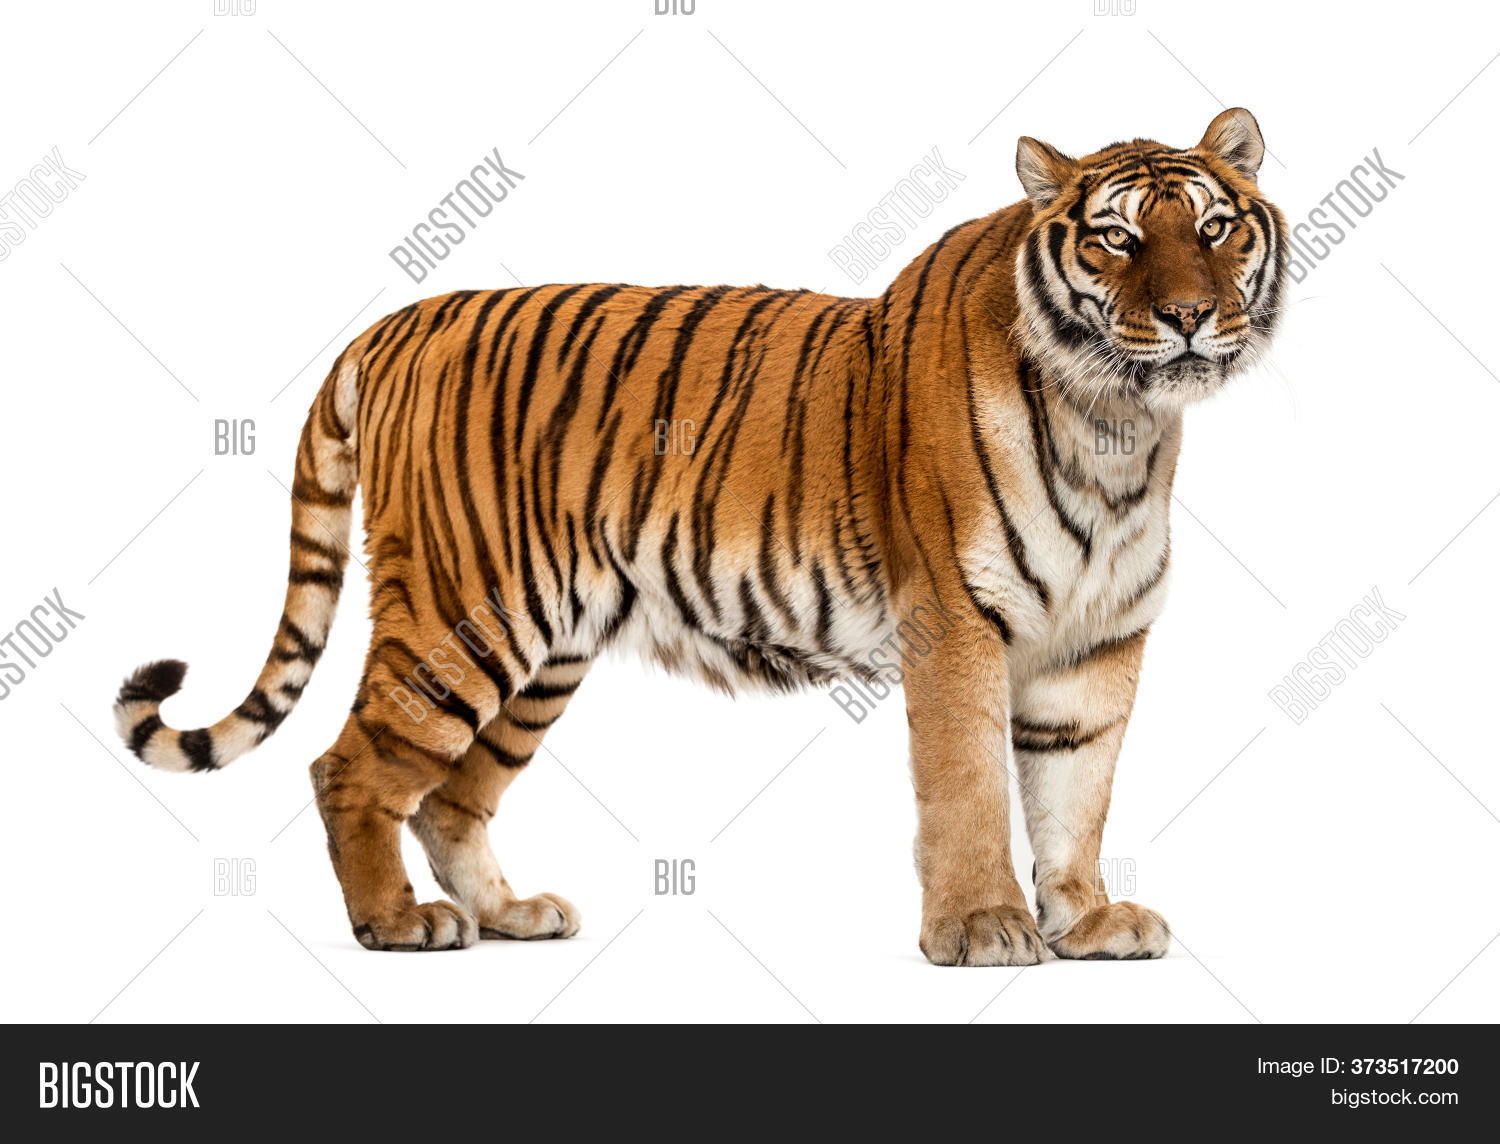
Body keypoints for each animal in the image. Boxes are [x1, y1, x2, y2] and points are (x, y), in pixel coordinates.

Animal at [114, 109, 1285, 964]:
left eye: (1213, 230)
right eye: (1118, 237)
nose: (1188, 315)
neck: (1118, 423)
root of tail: (398, 321)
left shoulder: (1098, 643)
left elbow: (1075, 794)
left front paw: (1086, 921)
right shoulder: (956, 623)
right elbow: (968, 786)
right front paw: (982, 929)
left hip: (546, 649)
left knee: (450, 797)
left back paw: (509, 914)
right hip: (462, 613)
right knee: (349, 768)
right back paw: (398, 925)